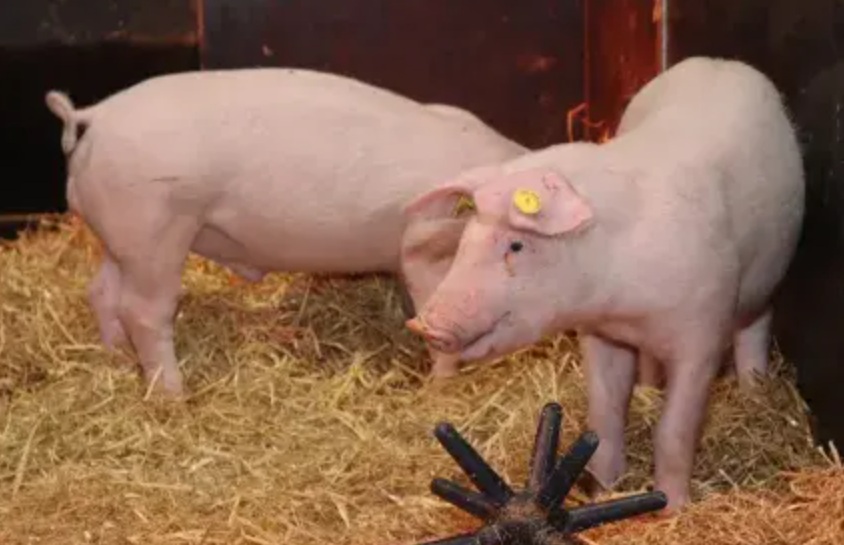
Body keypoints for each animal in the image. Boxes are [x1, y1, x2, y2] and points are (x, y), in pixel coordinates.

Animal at [45, 67, 526, 396]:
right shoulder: (425, 240)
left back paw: (116, 357)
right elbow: (435, 312)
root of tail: (95, 118)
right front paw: (440, 388)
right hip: (156, 228)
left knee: (101, 292)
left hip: (123, 238)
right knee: (143, 311)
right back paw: (174, 396)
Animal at [403, 56, 805, 512]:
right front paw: (604, 492)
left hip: (764, 281)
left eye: (517, 244)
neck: (624, 304)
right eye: (467, 235)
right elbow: (605, 416)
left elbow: (675, 430)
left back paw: (754, 391)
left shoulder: (702, 330)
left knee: (757, 321)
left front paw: (673, 510)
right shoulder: (601, 335)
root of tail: (719, 62)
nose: (423, 324)